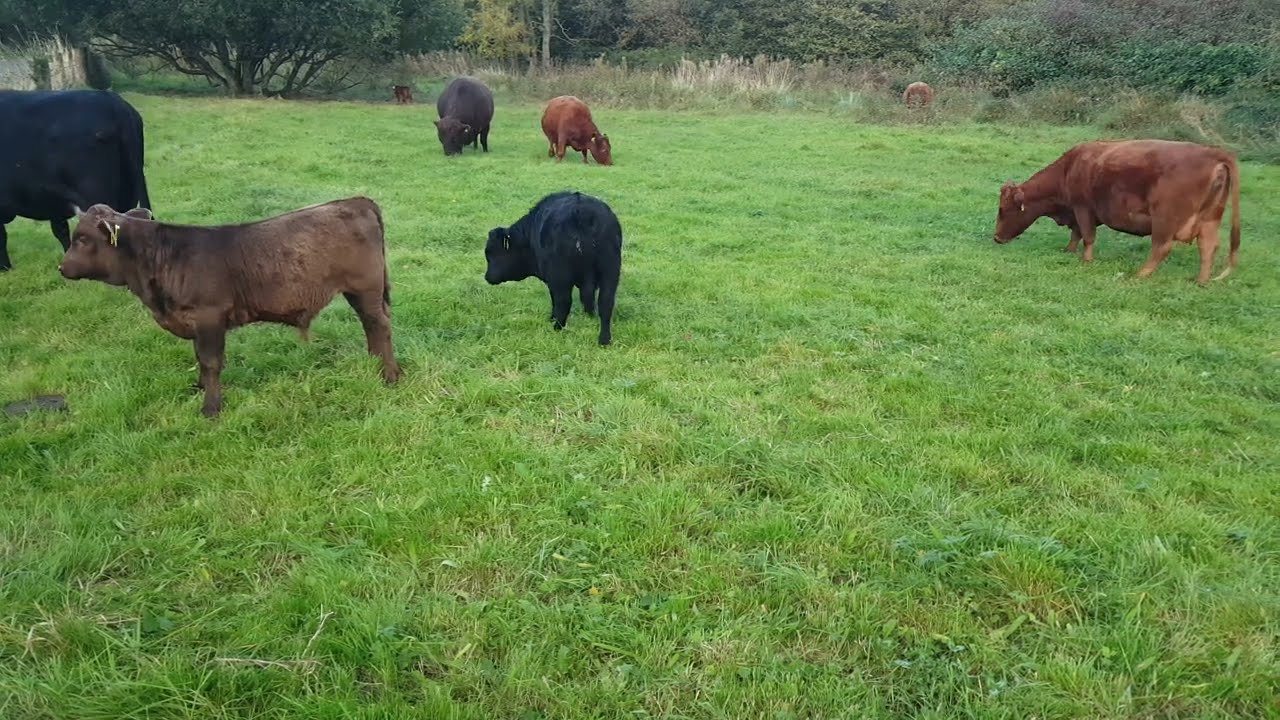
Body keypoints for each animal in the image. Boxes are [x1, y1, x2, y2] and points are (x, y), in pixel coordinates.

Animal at [58, 198, 401, 417]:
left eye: (82, 238)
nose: (61, 268)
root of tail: (356, 201)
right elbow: (199, 358)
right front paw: (198, 388)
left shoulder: (210, 317)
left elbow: (211, 362)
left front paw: (211, 408)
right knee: (371, 325)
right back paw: (374, 365)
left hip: (366, 288)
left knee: (379, 325)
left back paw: (389, 375)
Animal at [484, 191, 622, 346]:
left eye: (491, 253)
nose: (487, 277)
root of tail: (581, 211)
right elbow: (588, 297)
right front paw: (590, 316)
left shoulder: (551, 278)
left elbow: (555, 299)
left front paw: (552, 318)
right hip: (610, 269)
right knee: (606, 303)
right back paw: (604, 340)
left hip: (561, 275)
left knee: (564, 301)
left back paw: (557, 327)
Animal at [993, 139, 1242, 285]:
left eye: (1003, 210)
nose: (996, 238)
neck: (1069, 167)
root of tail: (1214, 154)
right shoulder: (1077, 210)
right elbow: (1076, 233)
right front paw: (1069, 250)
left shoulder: (1083, 207)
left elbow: (1087, 235)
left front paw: (1086, 260)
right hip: (1209, 220)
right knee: (1208, 247)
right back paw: (1201, 281)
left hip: (1164, 219)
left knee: (1161, 247)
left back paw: (1140, 274)